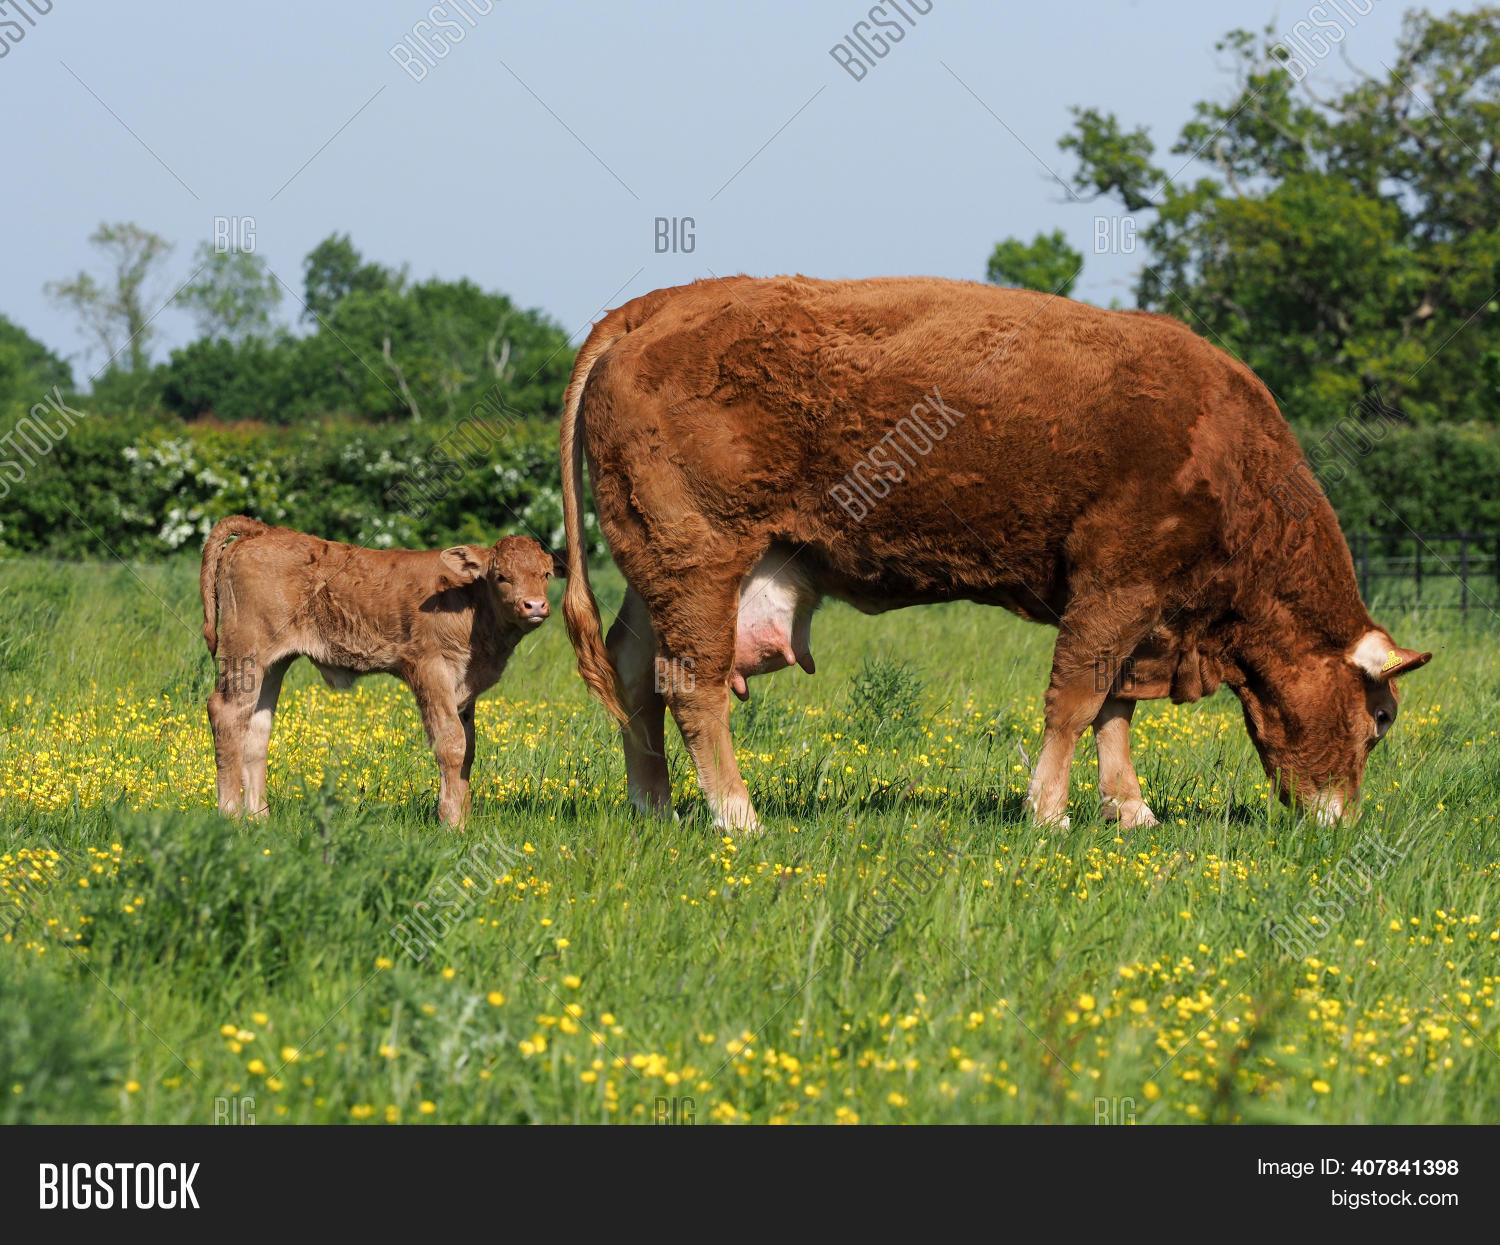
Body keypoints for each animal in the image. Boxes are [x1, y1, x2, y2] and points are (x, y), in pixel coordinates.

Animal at [199, 517, 564, 824]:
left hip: (272, 664)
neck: (471, 605)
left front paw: (464, 815)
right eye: (502, 576)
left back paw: (258, 818)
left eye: (545, 575)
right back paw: (231, 815)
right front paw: (452, 823)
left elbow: (468, 749)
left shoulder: (465, 685)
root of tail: (262, 530)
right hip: (245, 652)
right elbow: (451, 745)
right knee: (226, 713)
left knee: (256, 729)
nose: (534, 605)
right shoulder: (430, 669)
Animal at [558, 275, 1431, 833]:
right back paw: (736, 815)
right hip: (698, 558)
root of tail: (653, 306)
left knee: (634, 673)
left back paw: (655, 804)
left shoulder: (1138, 610)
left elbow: (1116, 708)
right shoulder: (1116, 585)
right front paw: (1047, 812)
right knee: (691, 686)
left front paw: (1130, 808)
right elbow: (1077, 698)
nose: (1341, 824)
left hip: (657, 566)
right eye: (1381, 718)